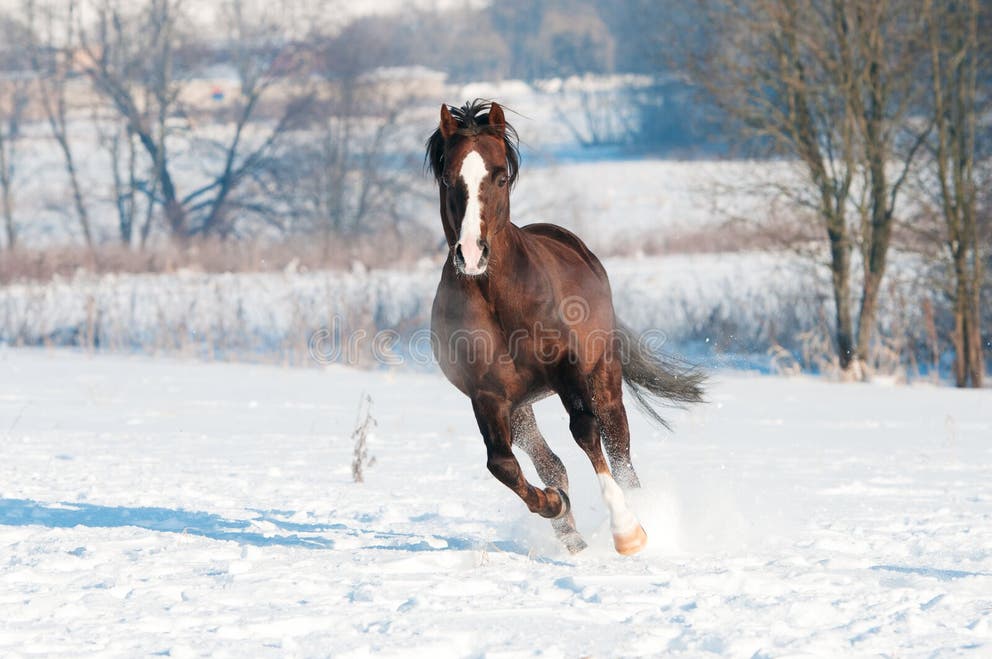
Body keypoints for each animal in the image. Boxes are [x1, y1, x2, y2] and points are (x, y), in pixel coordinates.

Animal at [426, 100, 704, 555]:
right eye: (449, 178)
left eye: (500, 176)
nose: (471, 254)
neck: (498, 299)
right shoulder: (488, 397)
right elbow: (503, 465)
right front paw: (557, 506)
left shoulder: (567, 369)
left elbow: (586, 433)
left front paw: (628, 532)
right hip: (521, 408)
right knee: (547, 461)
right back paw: (570, 531)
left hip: (604, 375)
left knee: (618, 448)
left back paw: (644, 509)